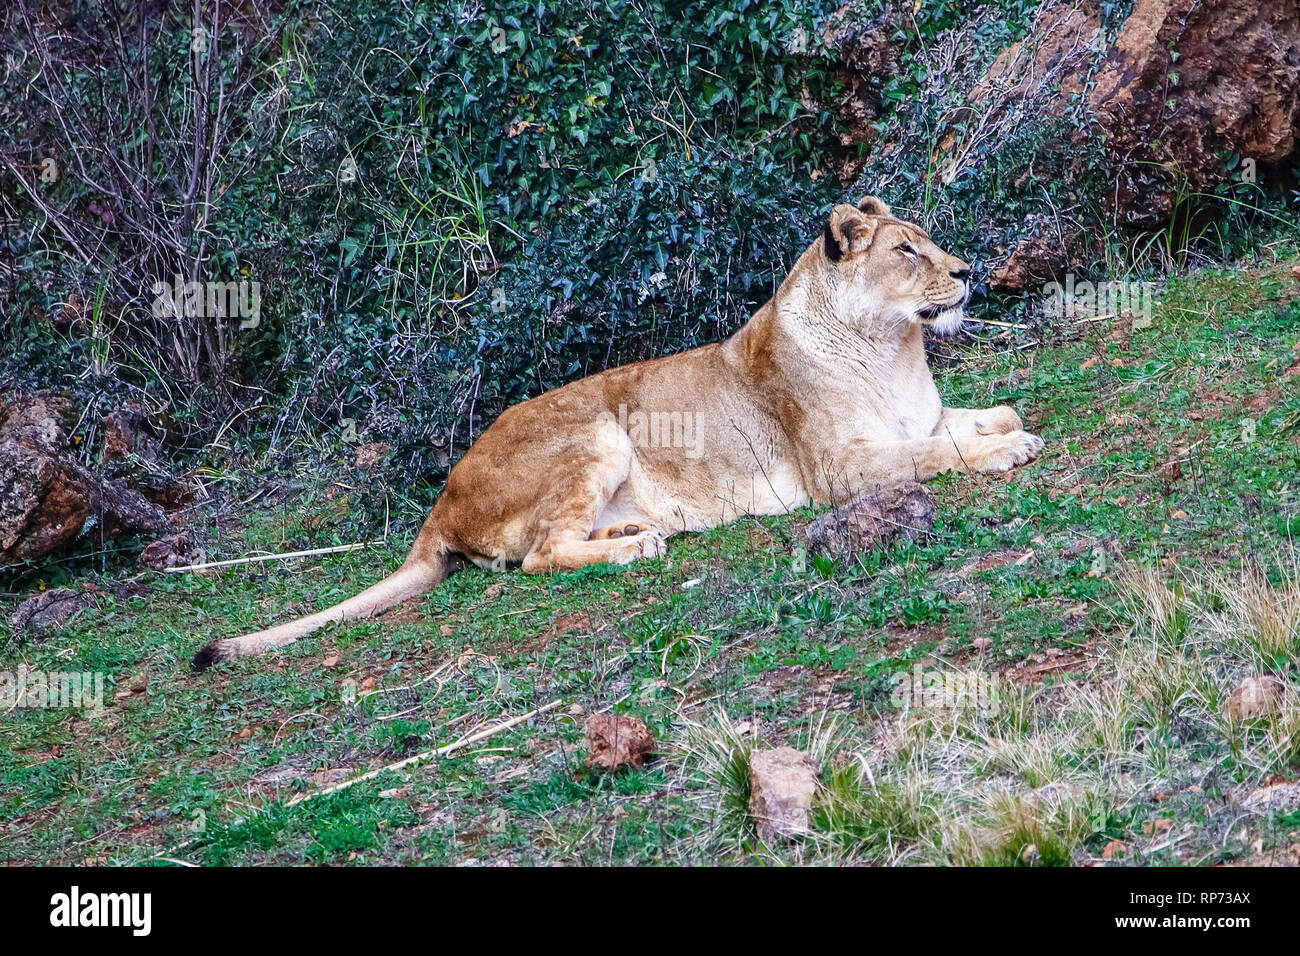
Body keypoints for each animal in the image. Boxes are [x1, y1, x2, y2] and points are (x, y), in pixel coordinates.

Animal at [193, 196, 1043, 669]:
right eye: (906, 249)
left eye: (926, 242)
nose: (968, 273)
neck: (893, 349)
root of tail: (437, 504)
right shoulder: (837, 468)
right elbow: (934, 451)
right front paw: (1007, 450)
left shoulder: (915, 416)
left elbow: (974, 416)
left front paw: (1008, 427)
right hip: (595, 431)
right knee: (538, 557)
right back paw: (635, 547)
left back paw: (632, 528)